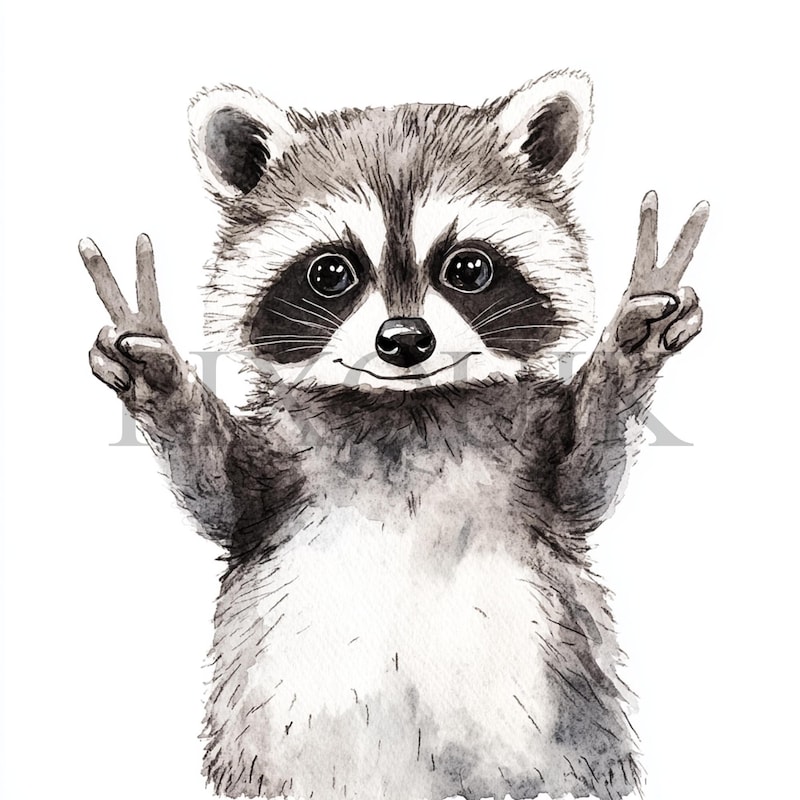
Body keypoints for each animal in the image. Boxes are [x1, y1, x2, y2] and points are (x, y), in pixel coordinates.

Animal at [80, 70, 708, 800]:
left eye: (467, 269)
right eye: (331, 272)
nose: (405, 341)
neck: (404, 408)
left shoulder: (533, 454)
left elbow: (586, 474)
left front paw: (633, 338)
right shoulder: (281, 467)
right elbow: (220, 493)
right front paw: (156, 369)